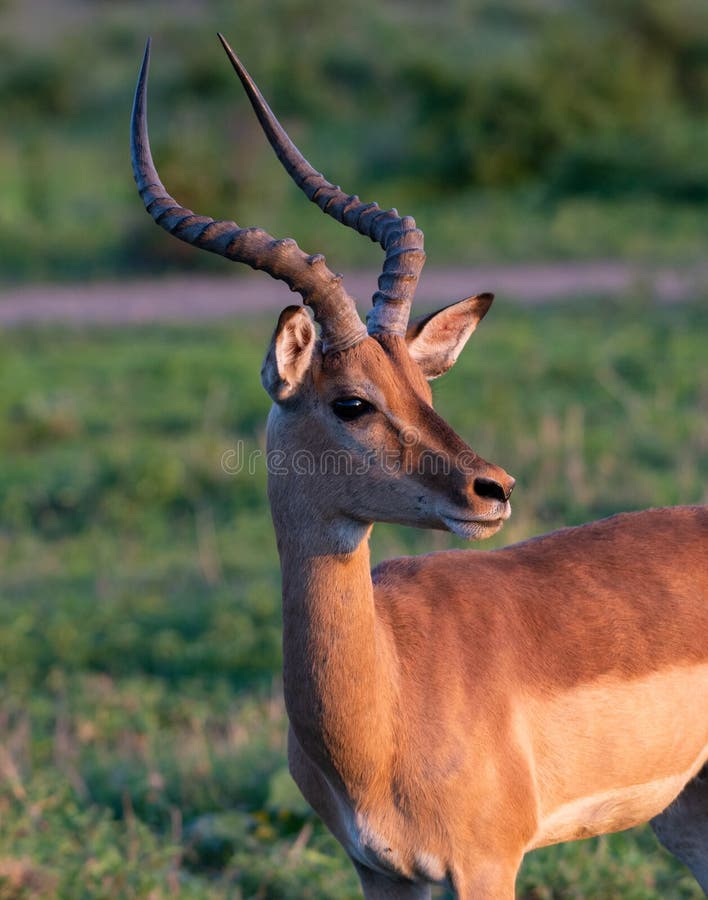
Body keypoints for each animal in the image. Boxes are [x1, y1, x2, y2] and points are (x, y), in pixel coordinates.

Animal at [131, 36, 708, 899]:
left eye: (422, 386)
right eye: (352, 401)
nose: (491, 490)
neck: (387, 695)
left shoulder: (486, 865)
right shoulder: (380, 872)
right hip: (688, 813)